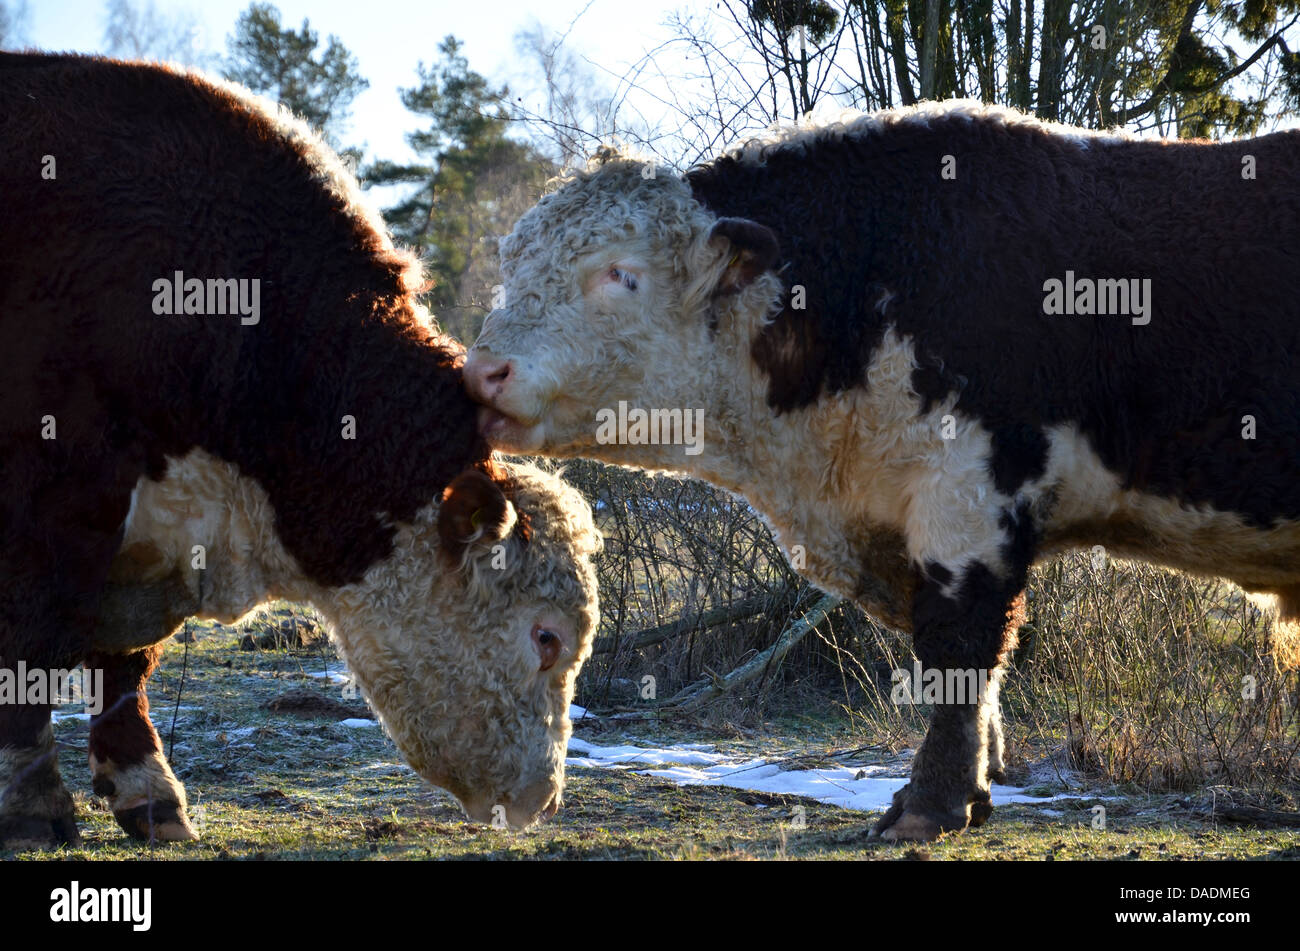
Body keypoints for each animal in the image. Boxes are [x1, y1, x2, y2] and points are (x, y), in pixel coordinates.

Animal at [0, 52, 600, 849]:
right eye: (545, 637)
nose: (546, 798)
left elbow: (125, 670)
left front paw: (150, 794)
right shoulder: (45, 516)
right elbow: (25, 655)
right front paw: (33, 807)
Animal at [465, 99, 1300, 842]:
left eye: (621, 273)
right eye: (512, 261)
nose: (483, 370)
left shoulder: (969, 489)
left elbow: (962, 648)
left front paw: (931, 803)